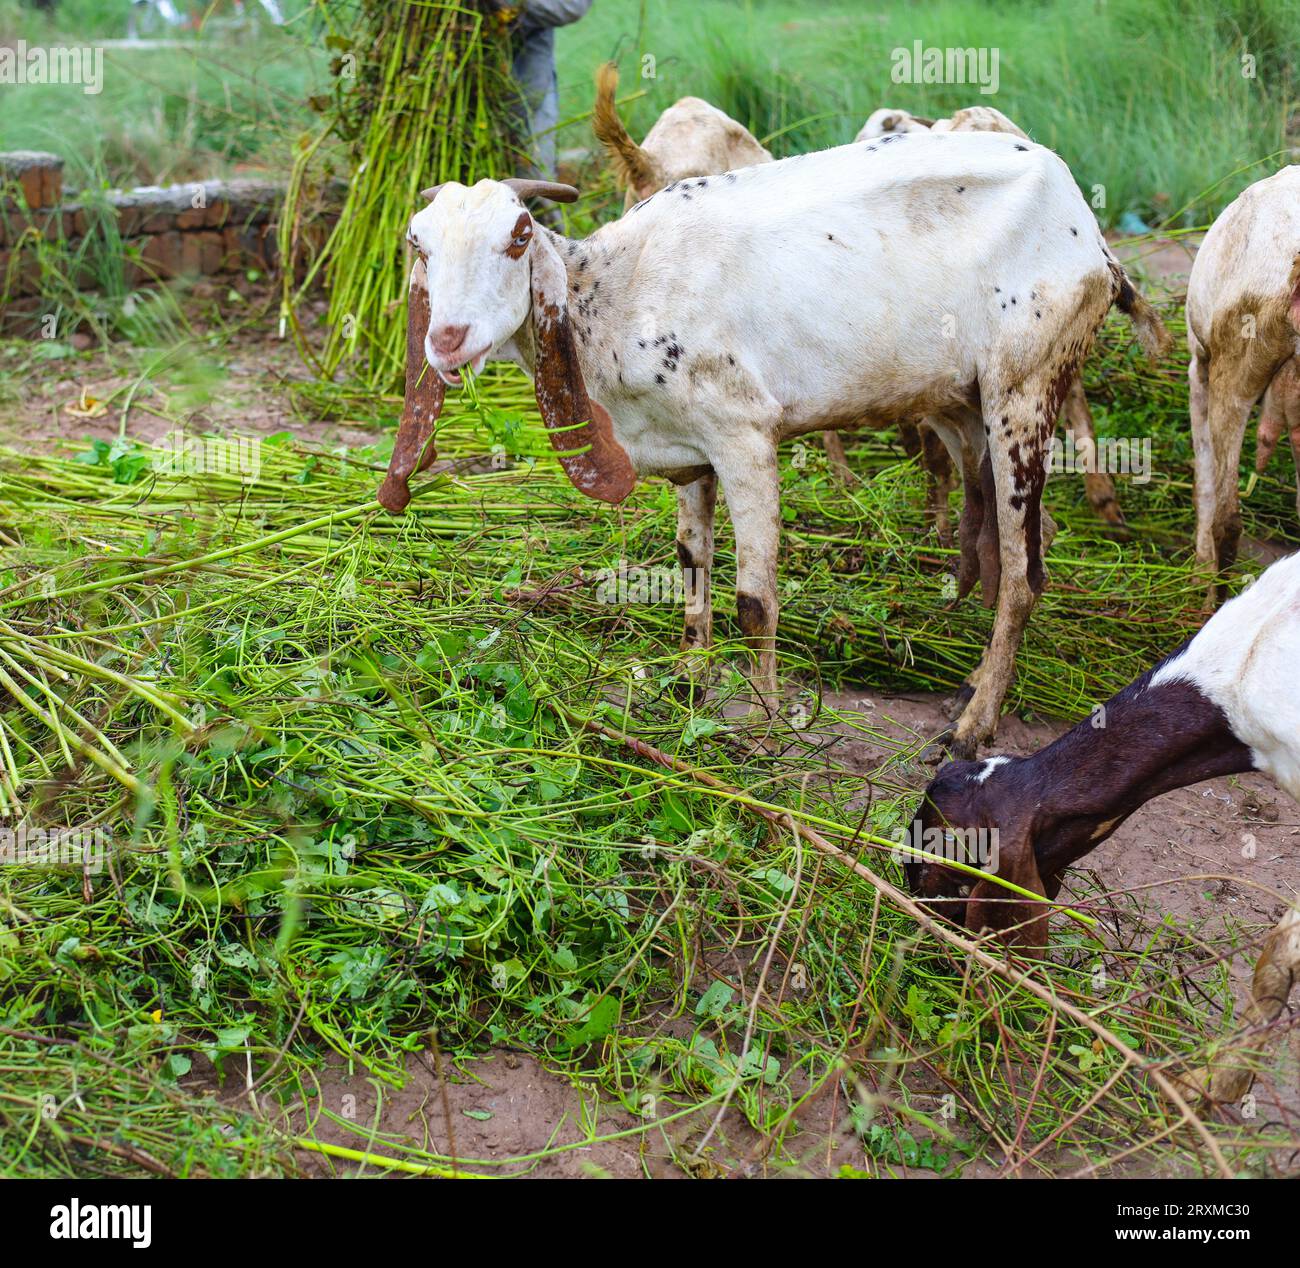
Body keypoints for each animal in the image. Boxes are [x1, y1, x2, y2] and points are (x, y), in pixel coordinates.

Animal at [381, 132, 1160, 756]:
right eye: (418, 243)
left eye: (517, 236)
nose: (447, 340)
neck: (617, 292)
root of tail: (1086, 231)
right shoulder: (689, 453)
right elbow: (692, 566)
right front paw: (689, 682)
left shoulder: (744, 434)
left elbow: (754, 598)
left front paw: (764, 724)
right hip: (968, 405)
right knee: (1013, 542)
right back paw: (971, 687)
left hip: (1024, 384)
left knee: (1027, 573)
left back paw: (974, 727)